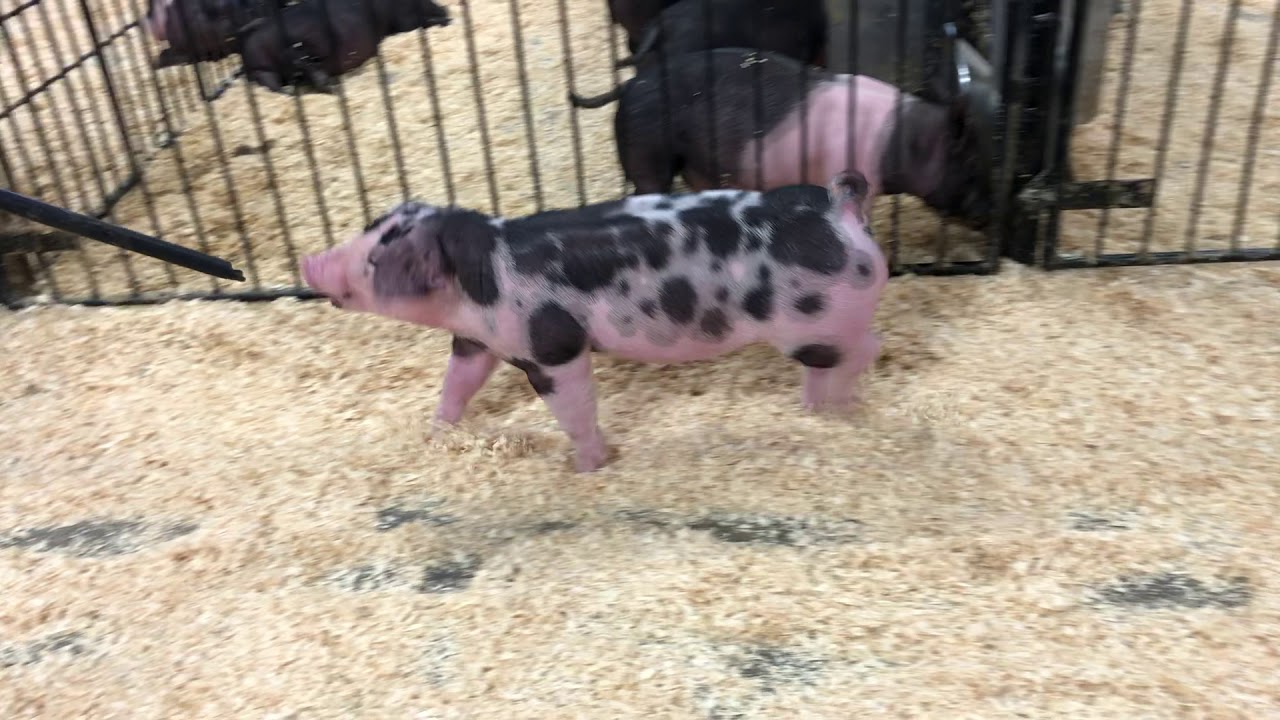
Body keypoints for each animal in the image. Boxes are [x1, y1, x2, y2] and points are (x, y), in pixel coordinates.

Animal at [235, 0, 451, 93]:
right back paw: (332, 87)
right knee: (300, 61)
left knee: (275, 82)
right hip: (311, 42)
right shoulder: (405, 19)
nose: (445, 9)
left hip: (260, 69)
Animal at [300, 170, 887, 473]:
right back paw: (812, 409)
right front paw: (436, 431)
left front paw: (586, 465)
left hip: (811, 323)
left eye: (379, 260)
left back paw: (842, 406)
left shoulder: (552, 347)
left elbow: (574, 406)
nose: (309, 261)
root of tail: (838, 208)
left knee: (867, 347)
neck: (483, 272)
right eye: (369, 228)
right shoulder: (475, 339)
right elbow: (458, 383)